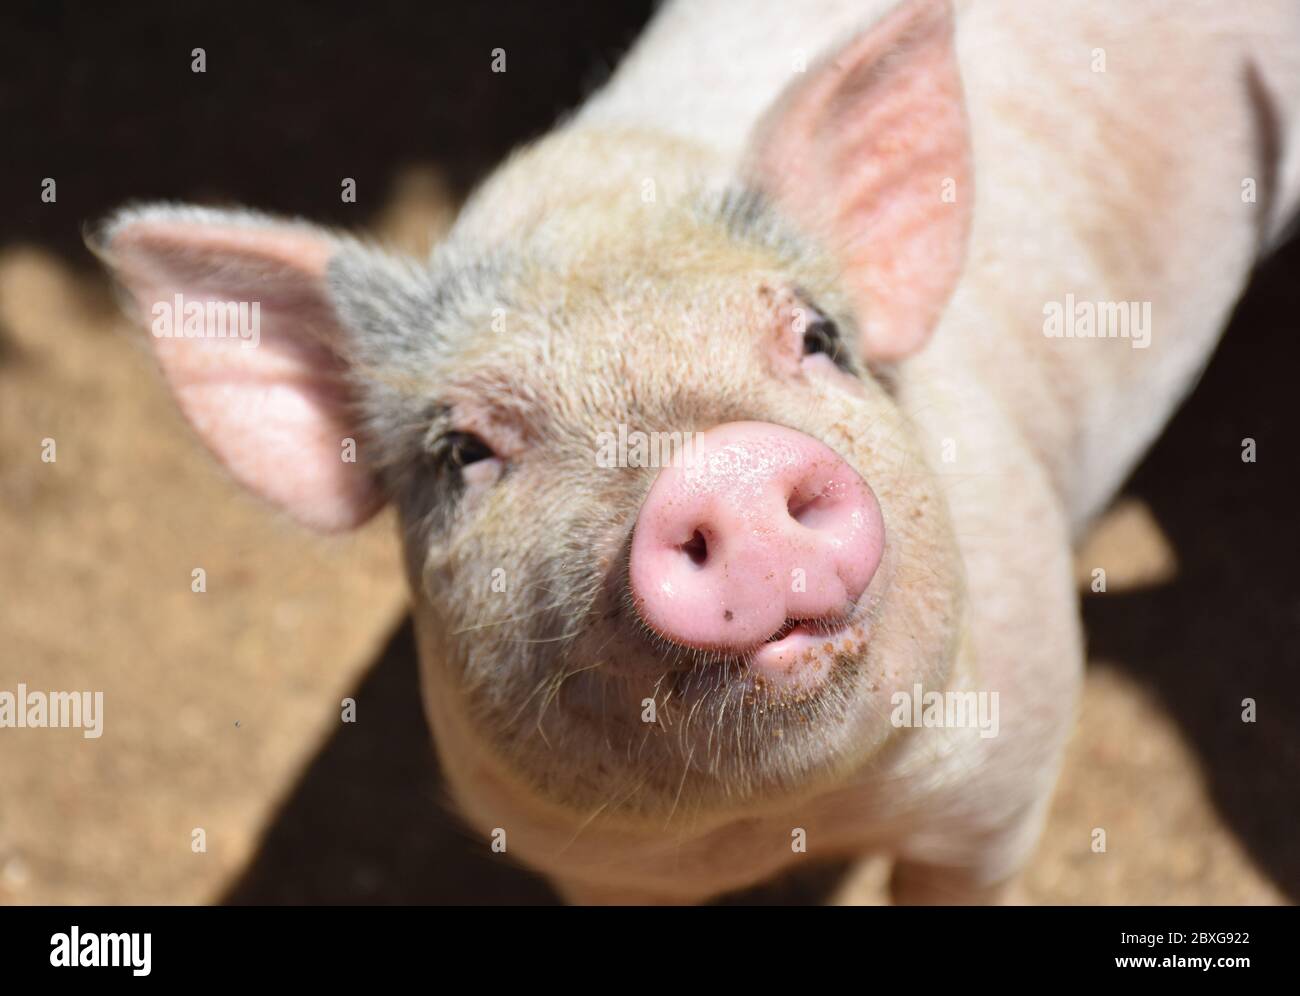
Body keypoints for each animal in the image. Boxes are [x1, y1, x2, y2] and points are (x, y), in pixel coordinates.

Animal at [91, 0, 1300, 903]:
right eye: (465, 450)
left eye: (819, 338)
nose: (721, 463)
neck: (788, 819)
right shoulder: (584, 860)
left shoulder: (1007, 775)